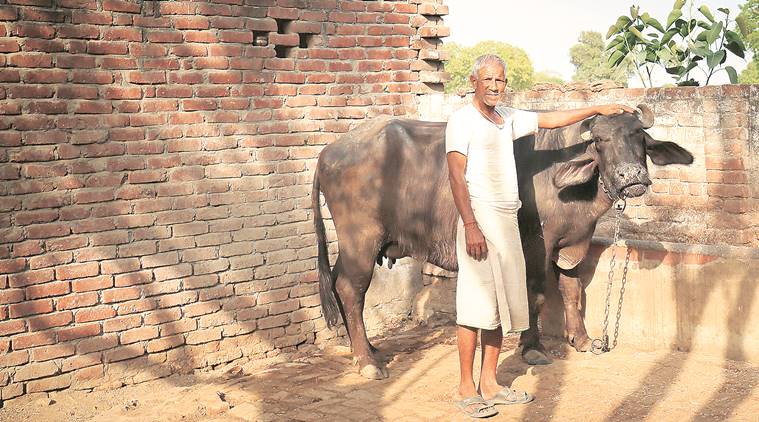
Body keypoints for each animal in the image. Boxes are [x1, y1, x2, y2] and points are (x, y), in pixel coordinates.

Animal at [312, 105, 694, 379]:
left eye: (639, 137)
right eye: (600, 141)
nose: (632, 176)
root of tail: (330, 151)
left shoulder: (575, 243)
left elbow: (572, 290)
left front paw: (582, 339)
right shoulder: (538, 243)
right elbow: (536, 294)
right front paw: (533, 347)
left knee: (339, 283)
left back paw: (366, 349)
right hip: (361, 239)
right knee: (350, 289)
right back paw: (367, 361)